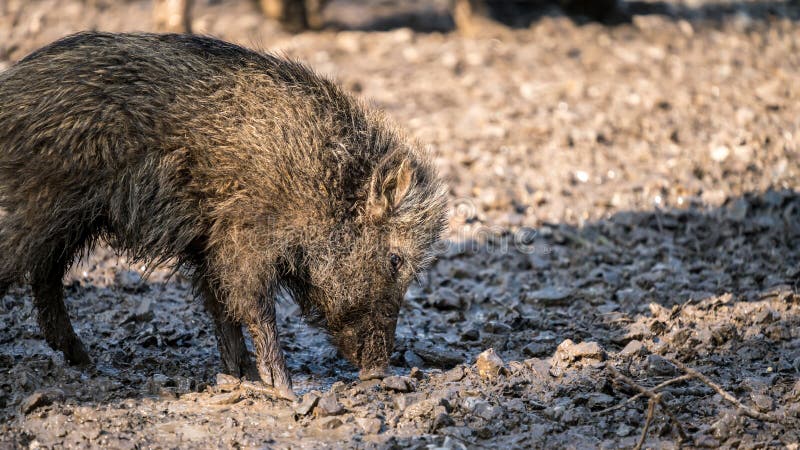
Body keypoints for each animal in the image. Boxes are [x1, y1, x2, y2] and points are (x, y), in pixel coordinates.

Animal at [0, 32, 447, 400]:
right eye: (396, 259)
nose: (378, 372)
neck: (320, 184)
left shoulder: (208, 246)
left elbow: (221, 307)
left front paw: (240, 374)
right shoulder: (242, 237)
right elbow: (252, 306)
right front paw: (285, 390)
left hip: (66, 223)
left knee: (45, 277)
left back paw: (83, 358)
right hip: (34, 211)